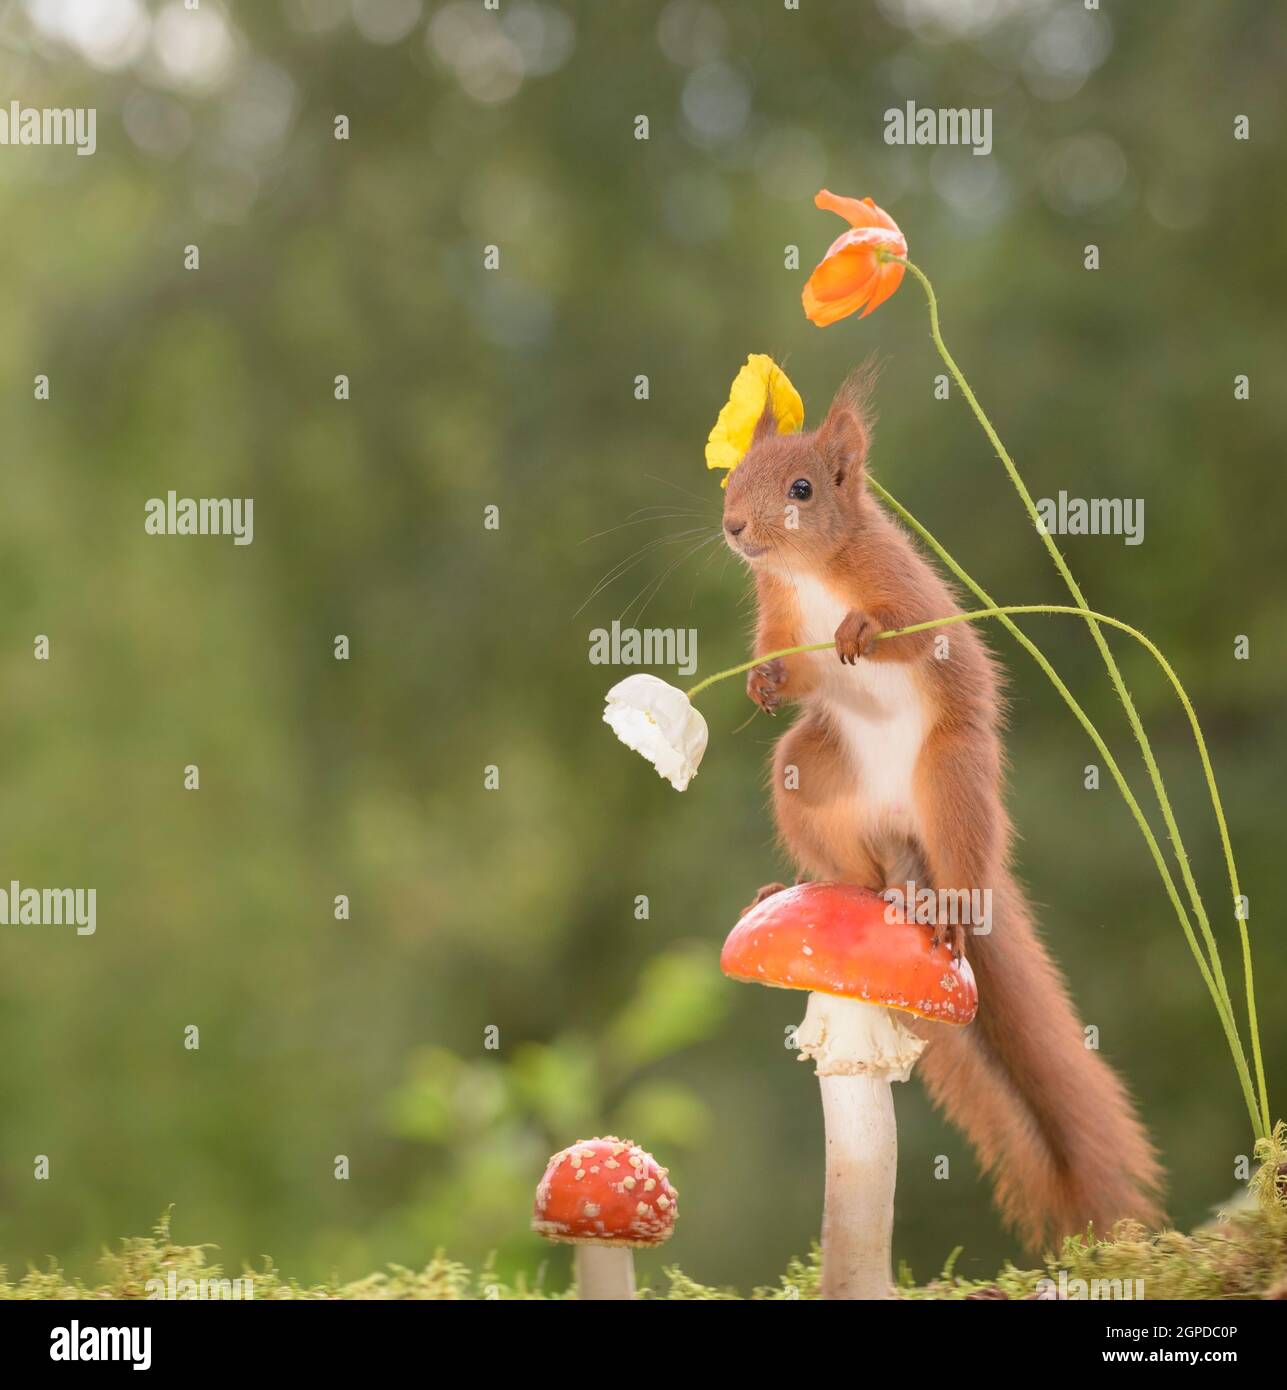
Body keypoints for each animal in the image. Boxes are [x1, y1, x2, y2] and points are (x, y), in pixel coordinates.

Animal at [721, 368, 1163, 1248]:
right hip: (811, 774)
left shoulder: (904, 588)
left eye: (801, 489)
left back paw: (950, 916)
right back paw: (812, 885)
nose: (733, 527)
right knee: (845, 855)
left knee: (961, 861)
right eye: (732, 476)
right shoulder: (780, 614)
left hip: (951, 780)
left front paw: (859, 632)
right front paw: (762, 682)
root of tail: (903, 839)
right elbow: (794, 667)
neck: (810, 572)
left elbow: (907, 633)